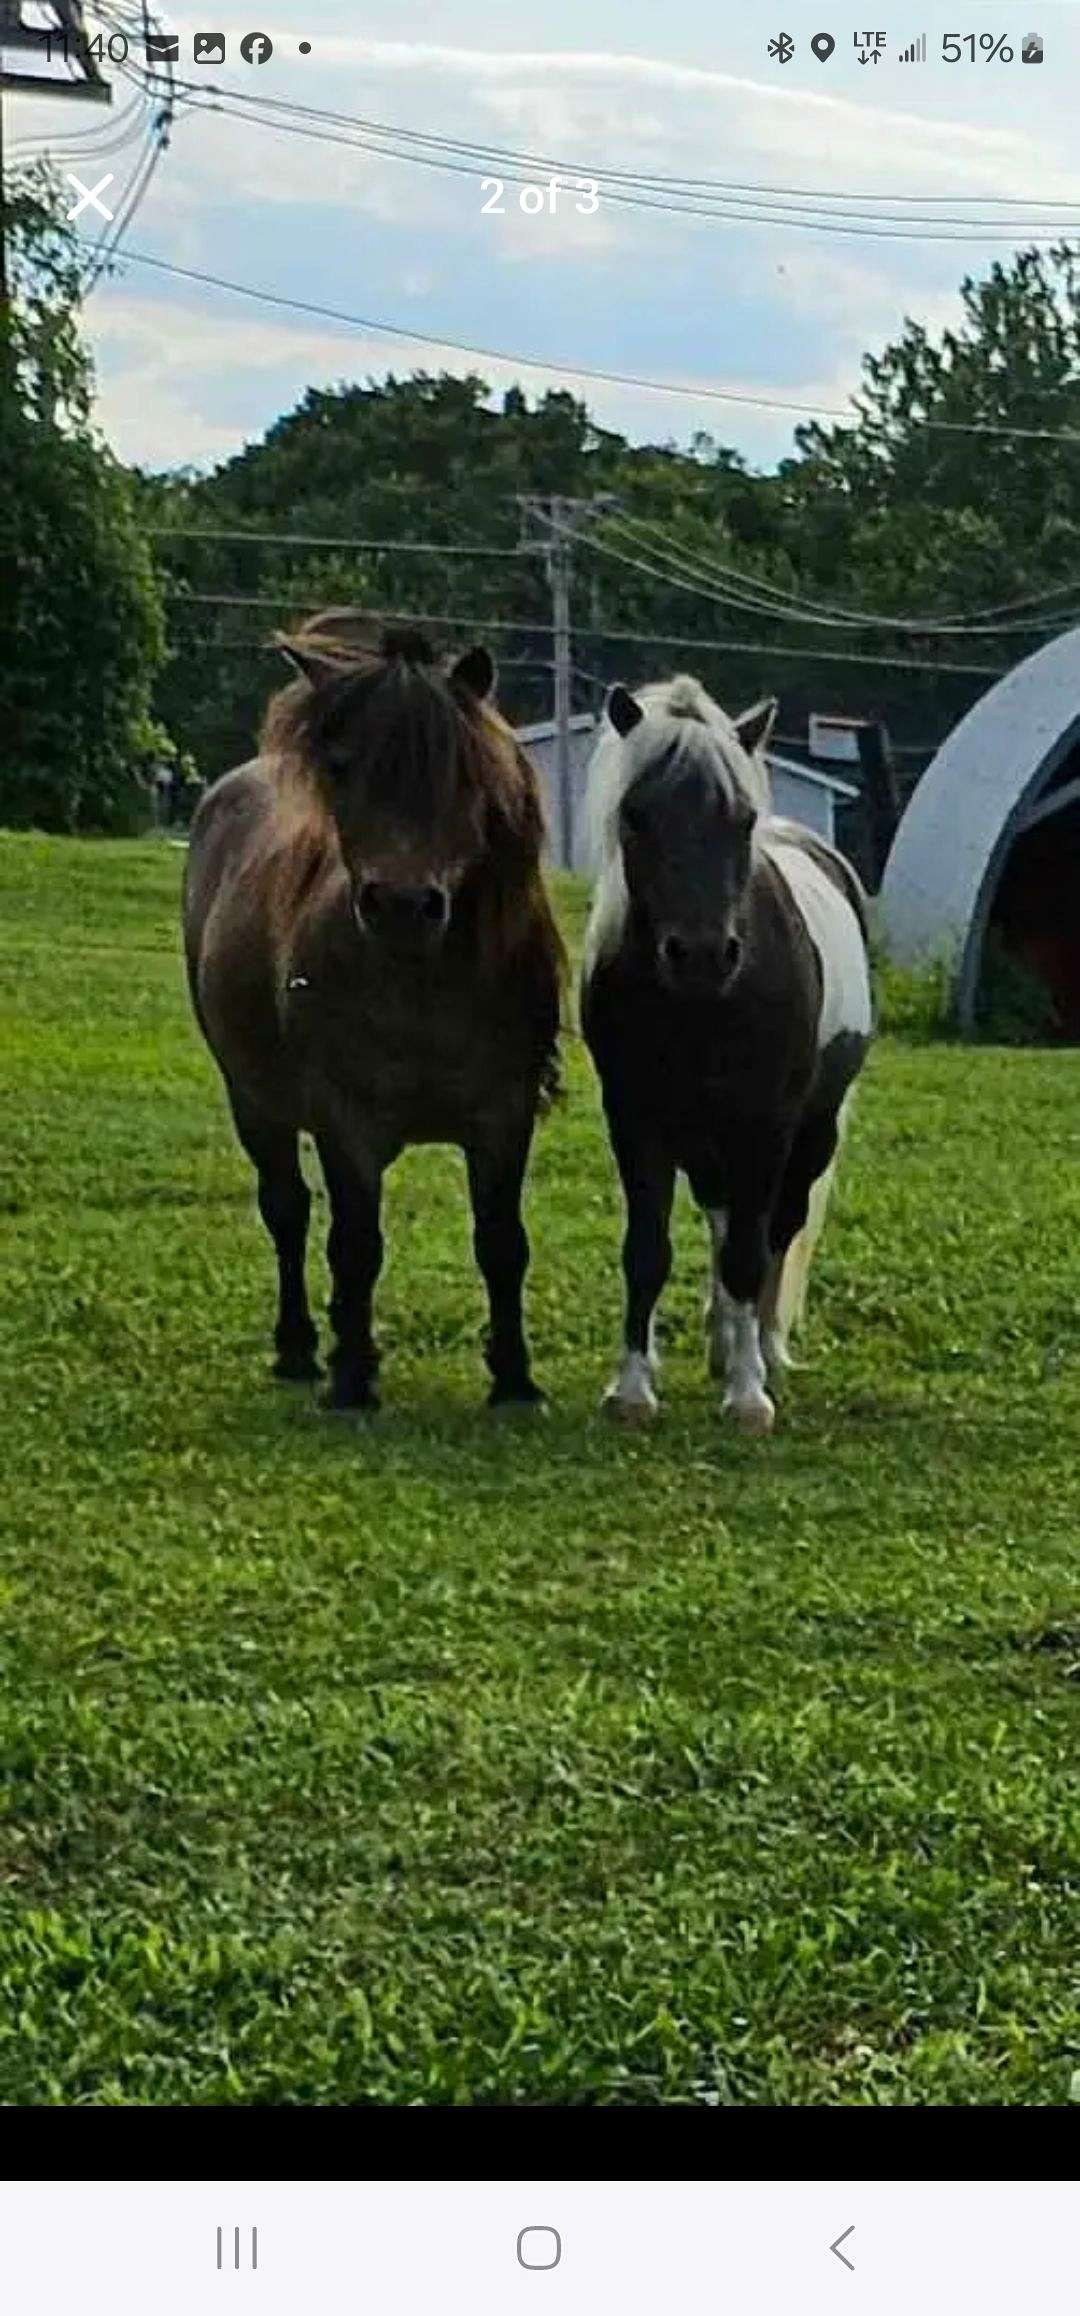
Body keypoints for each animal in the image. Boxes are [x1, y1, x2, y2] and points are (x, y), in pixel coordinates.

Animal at [183, 615, 564, 1411]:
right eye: (341, 767)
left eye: (461, 772)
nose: (402, 906)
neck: (420, 983)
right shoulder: (345, 1120)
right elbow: (355, 1244)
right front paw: (353, 1374)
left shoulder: (503, 1116)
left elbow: (502, 1242)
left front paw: (514, 1379)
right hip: (253, 1100)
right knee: (286, 1209)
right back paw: (300, 1348)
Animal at [580, 673, 872, 1433]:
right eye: (636, 816)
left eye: (740, 819)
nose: (703, 955)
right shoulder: (637, 1122)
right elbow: (647, 1251)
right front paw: (633, 1387)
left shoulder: (764, 1126)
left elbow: (750, 1253)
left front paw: (748, 1394)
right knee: (721, 1220)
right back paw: (722, 1343)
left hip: (809, 1132)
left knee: (775, 1230)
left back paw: (762, 1348)